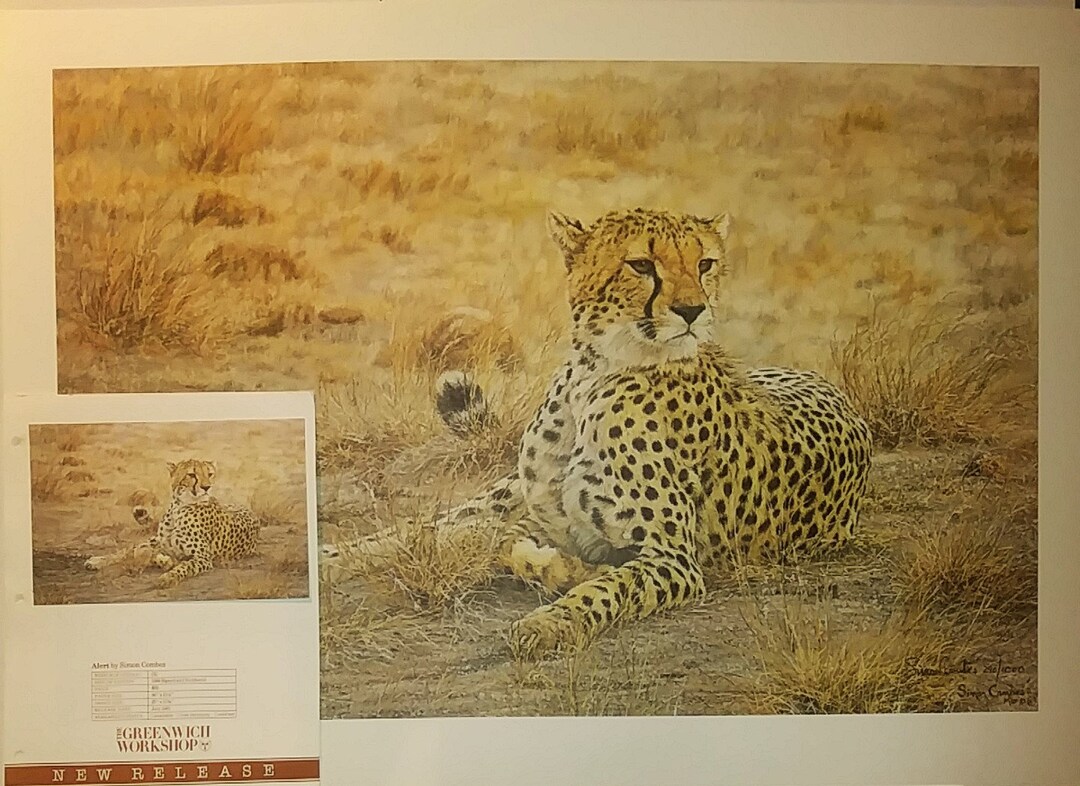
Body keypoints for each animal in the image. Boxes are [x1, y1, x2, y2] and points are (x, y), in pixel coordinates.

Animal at [85, 458, 261, 587]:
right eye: (191, 475)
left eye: (210, 474)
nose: (207, 487)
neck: (179, 506)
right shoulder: (162, 544)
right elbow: (135, 551)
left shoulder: (203, 558)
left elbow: (184, 566)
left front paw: (167, 577)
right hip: (154, 539)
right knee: (130, 549)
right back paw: (96, 561)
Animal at [331, 207, 873, 660]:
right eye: (641, 265)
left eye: (705, 264)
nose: (693, 311)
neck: (591, 375)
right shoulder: (542, 520)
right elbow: (509, 546)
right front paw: (565, 573)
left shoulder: (674, 559)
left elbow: (604, 588)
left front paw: (549, 621)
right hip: (504, 492)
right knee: (435, 523)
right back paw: (333, 556)